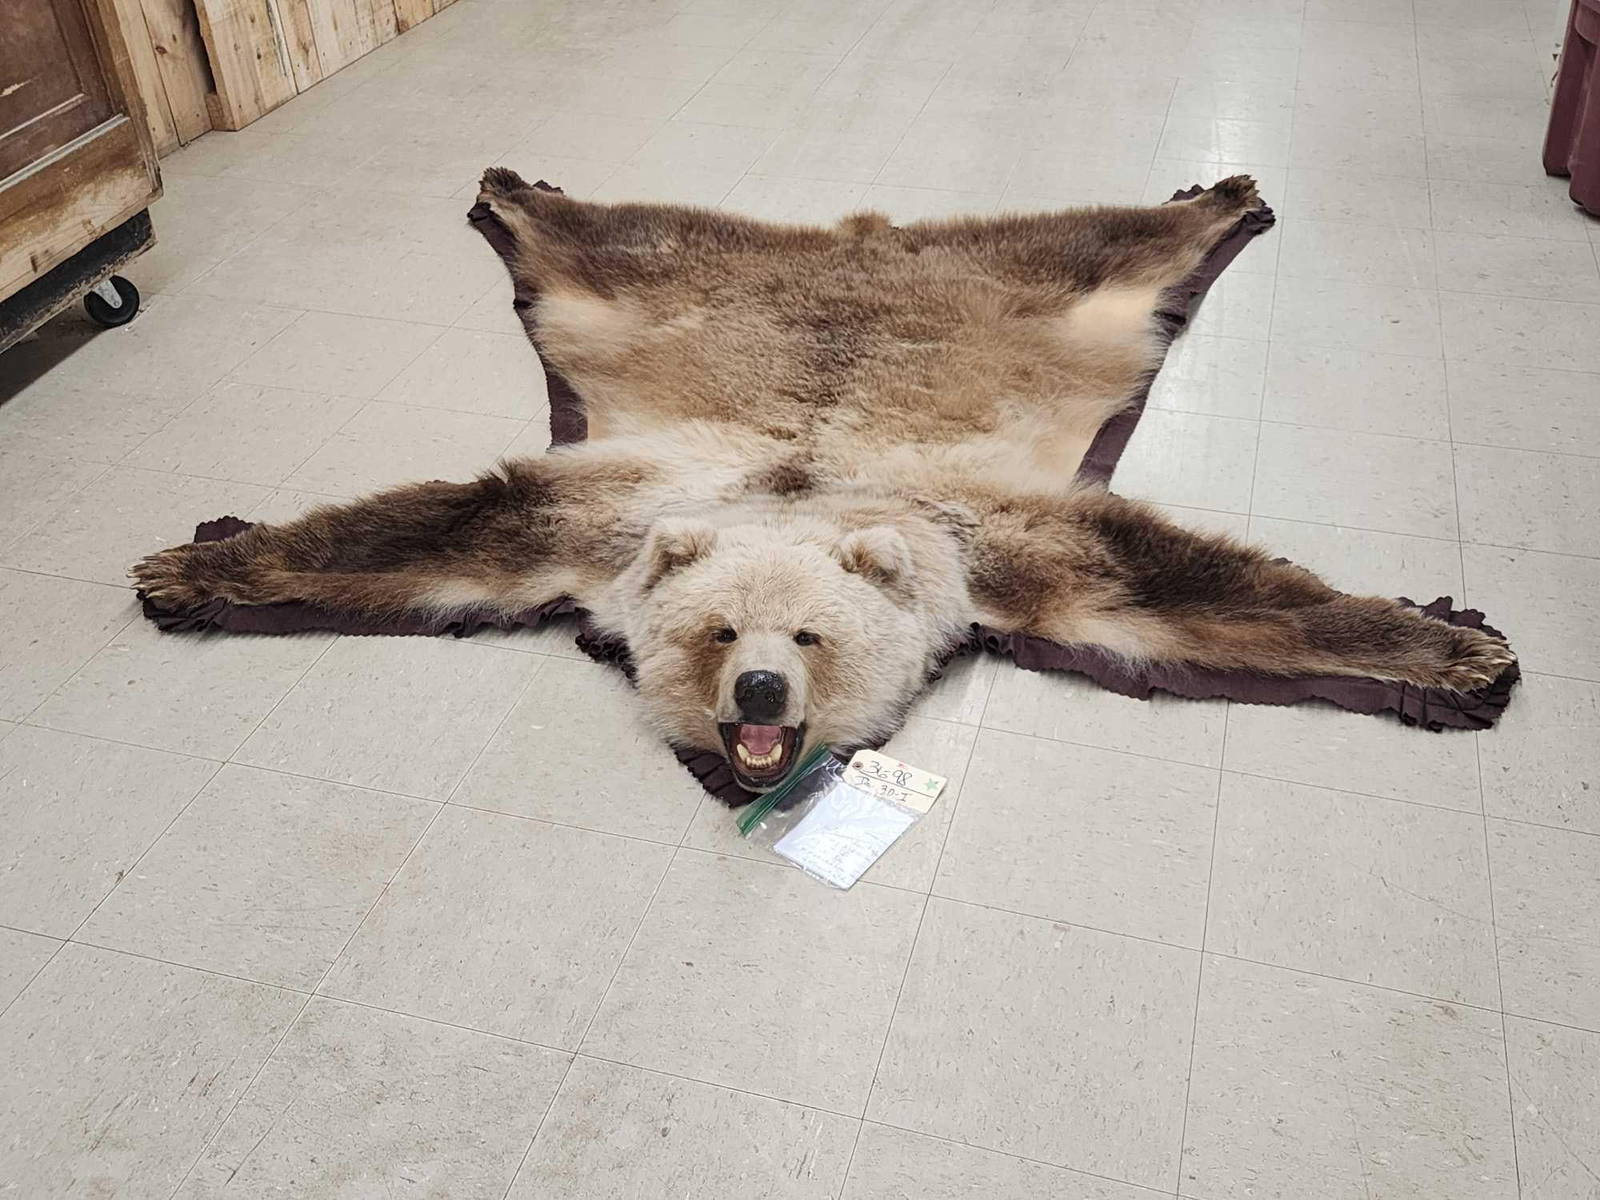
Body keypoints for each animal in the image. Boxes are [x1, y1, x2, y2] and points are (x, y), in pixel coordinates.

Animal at [132, 171, 1514, 792]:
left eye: (808, 640)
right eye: (712, 638)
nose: (754, 704)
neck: (794, 499)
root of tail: (860, 243)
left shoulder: (999, 541)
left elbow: (1172, 593)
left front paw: (1452, 652)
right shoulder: (597, 518)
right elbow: (440, 535)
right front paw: (192, 564)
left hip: (1057, 303)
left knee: (1108, 246)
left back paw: (1214, 191)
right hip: (640, 304)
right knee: (603, 246)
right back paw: (519, 190)